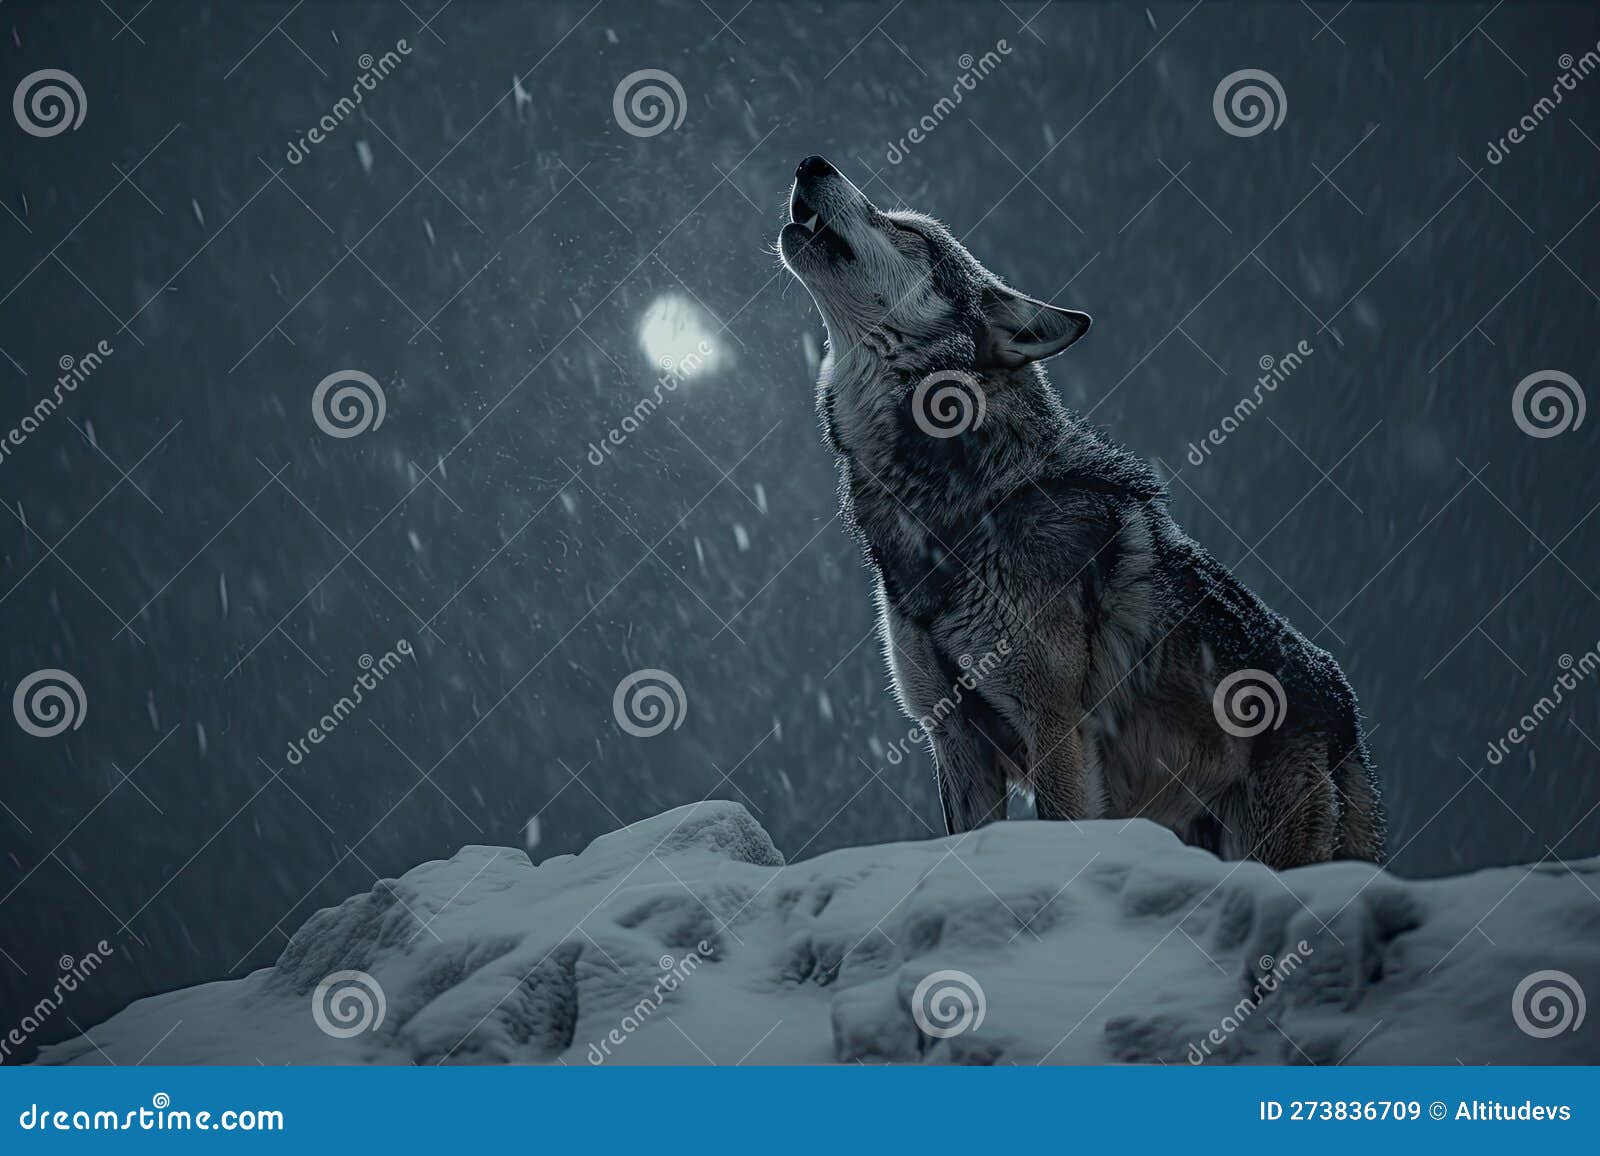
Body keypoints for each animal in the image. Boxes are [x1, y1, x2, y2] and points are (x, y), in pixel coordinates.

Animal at [777, 155, 1384, 869]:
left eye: (904, 229)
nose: (811, 161)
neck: (969, 501)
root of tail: (1349, 718)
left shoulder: (1055, 727)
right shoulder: (953, 738)